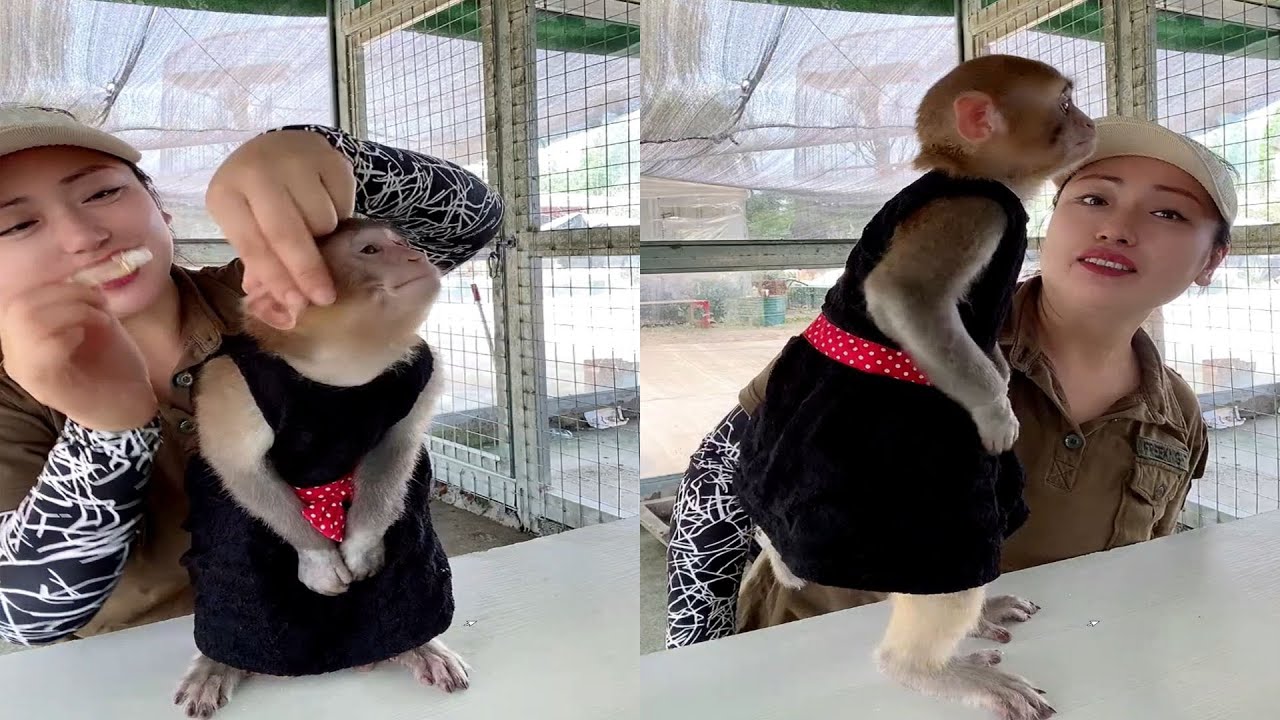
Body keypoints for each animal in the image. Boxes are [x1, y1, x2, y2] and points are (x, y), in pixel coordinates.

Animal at [170, 218, 469, 718]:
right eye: (371, 251)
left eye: (401, 242)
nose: (417, 256)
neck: (339, 368)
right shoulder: (230, 386)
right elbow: (237, 467)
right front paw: (319, 559)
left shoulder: (424, 369)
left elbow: (397, 450)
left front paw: (360, 548)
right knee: (234, 556)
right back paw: (219, 662)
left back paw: (414, 646)